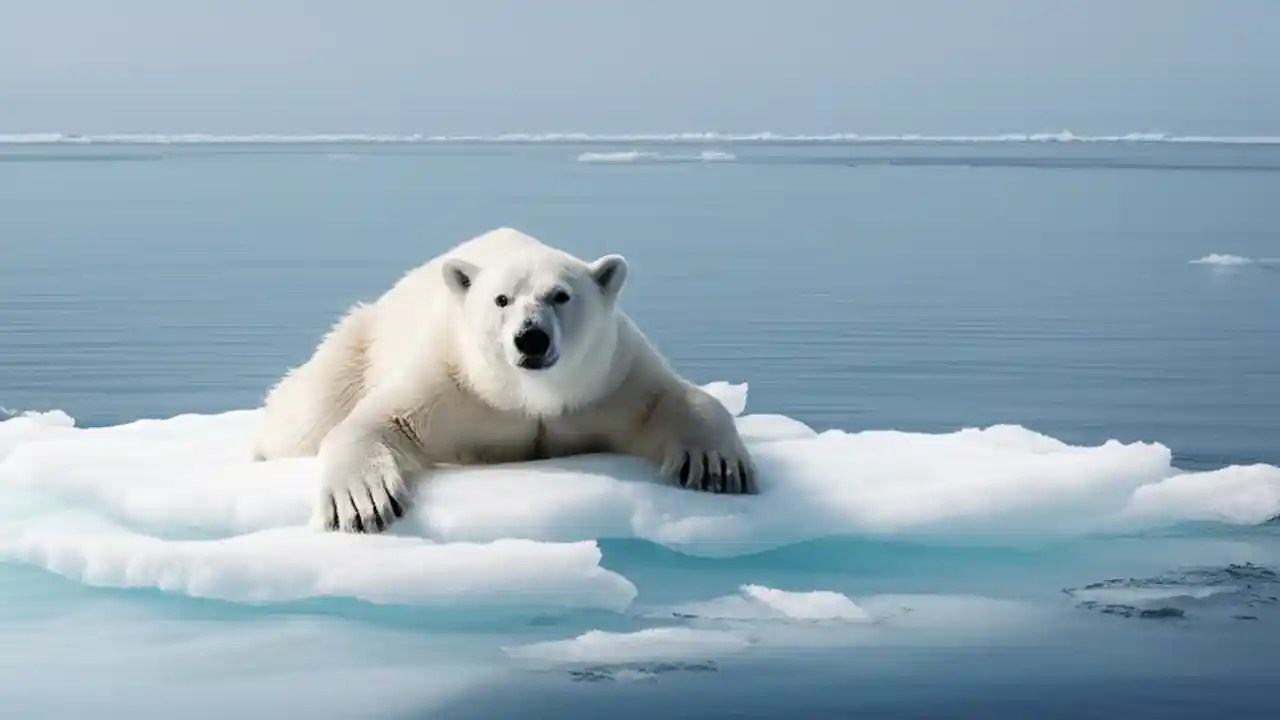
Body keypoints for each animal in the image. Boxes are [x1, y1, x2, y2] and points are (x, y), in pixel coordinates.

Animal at [254, 227, 756, 533]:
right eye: (501, 299)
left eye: (561, 295)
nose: (530, 338)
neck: (529, 397)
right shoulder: (452, 381)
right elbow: (375, 421)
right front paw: (364, 505)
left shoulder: (611, 379)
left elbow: (677, 402)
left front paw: (715, 467)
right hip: (358, 343)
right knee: (310, 408)